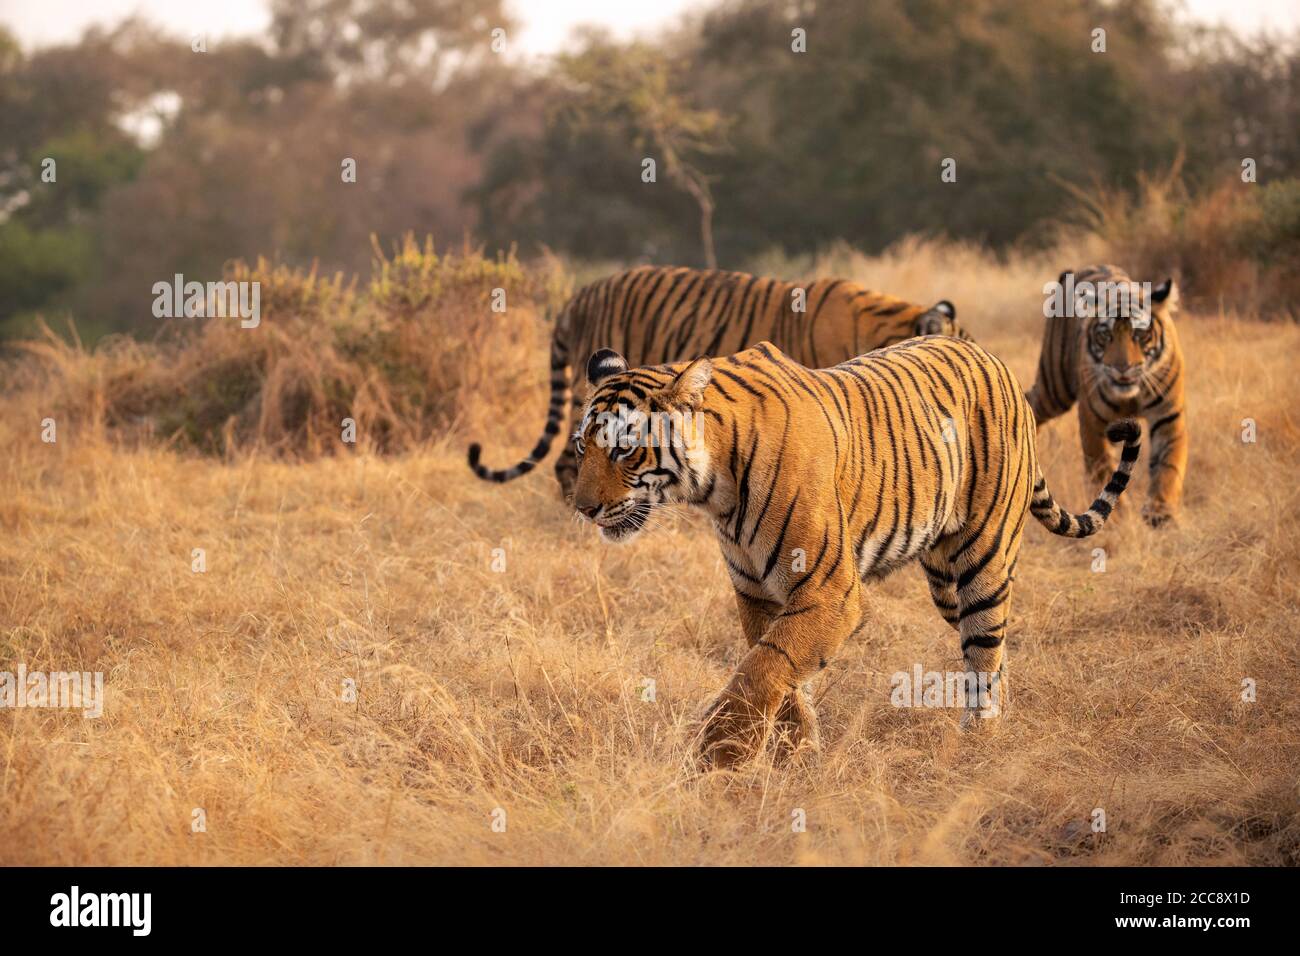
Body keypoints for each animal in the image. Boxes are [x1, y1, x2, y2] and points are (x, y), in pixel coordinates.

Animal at [571, 337, 1141, 767]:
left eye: (623, 449)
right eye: (582, 446)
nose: (582, 508)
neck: (716, 487)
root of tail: (995, 361)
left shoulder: (830, 591)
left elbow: (759, 672)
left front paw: (718, 760)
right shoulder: (757, 593)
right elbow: (778, 672)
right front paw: (795, 755)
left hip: (984, 557)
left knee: (985, 648)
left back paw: (978, 741)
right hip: (945, 582)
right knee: (997, 644)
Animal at [1026, 264, 1185, 527]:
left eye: (1139, 335)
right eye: (1106, 336)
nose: (1122, 368)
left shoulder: (1169, 417)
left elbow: (1168, 465)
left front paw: (1159, 512)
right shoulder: (1093, 420)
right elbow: (1101, 466)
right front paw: (1118, 516)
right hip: (1055, 389)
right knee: (1032, 403)